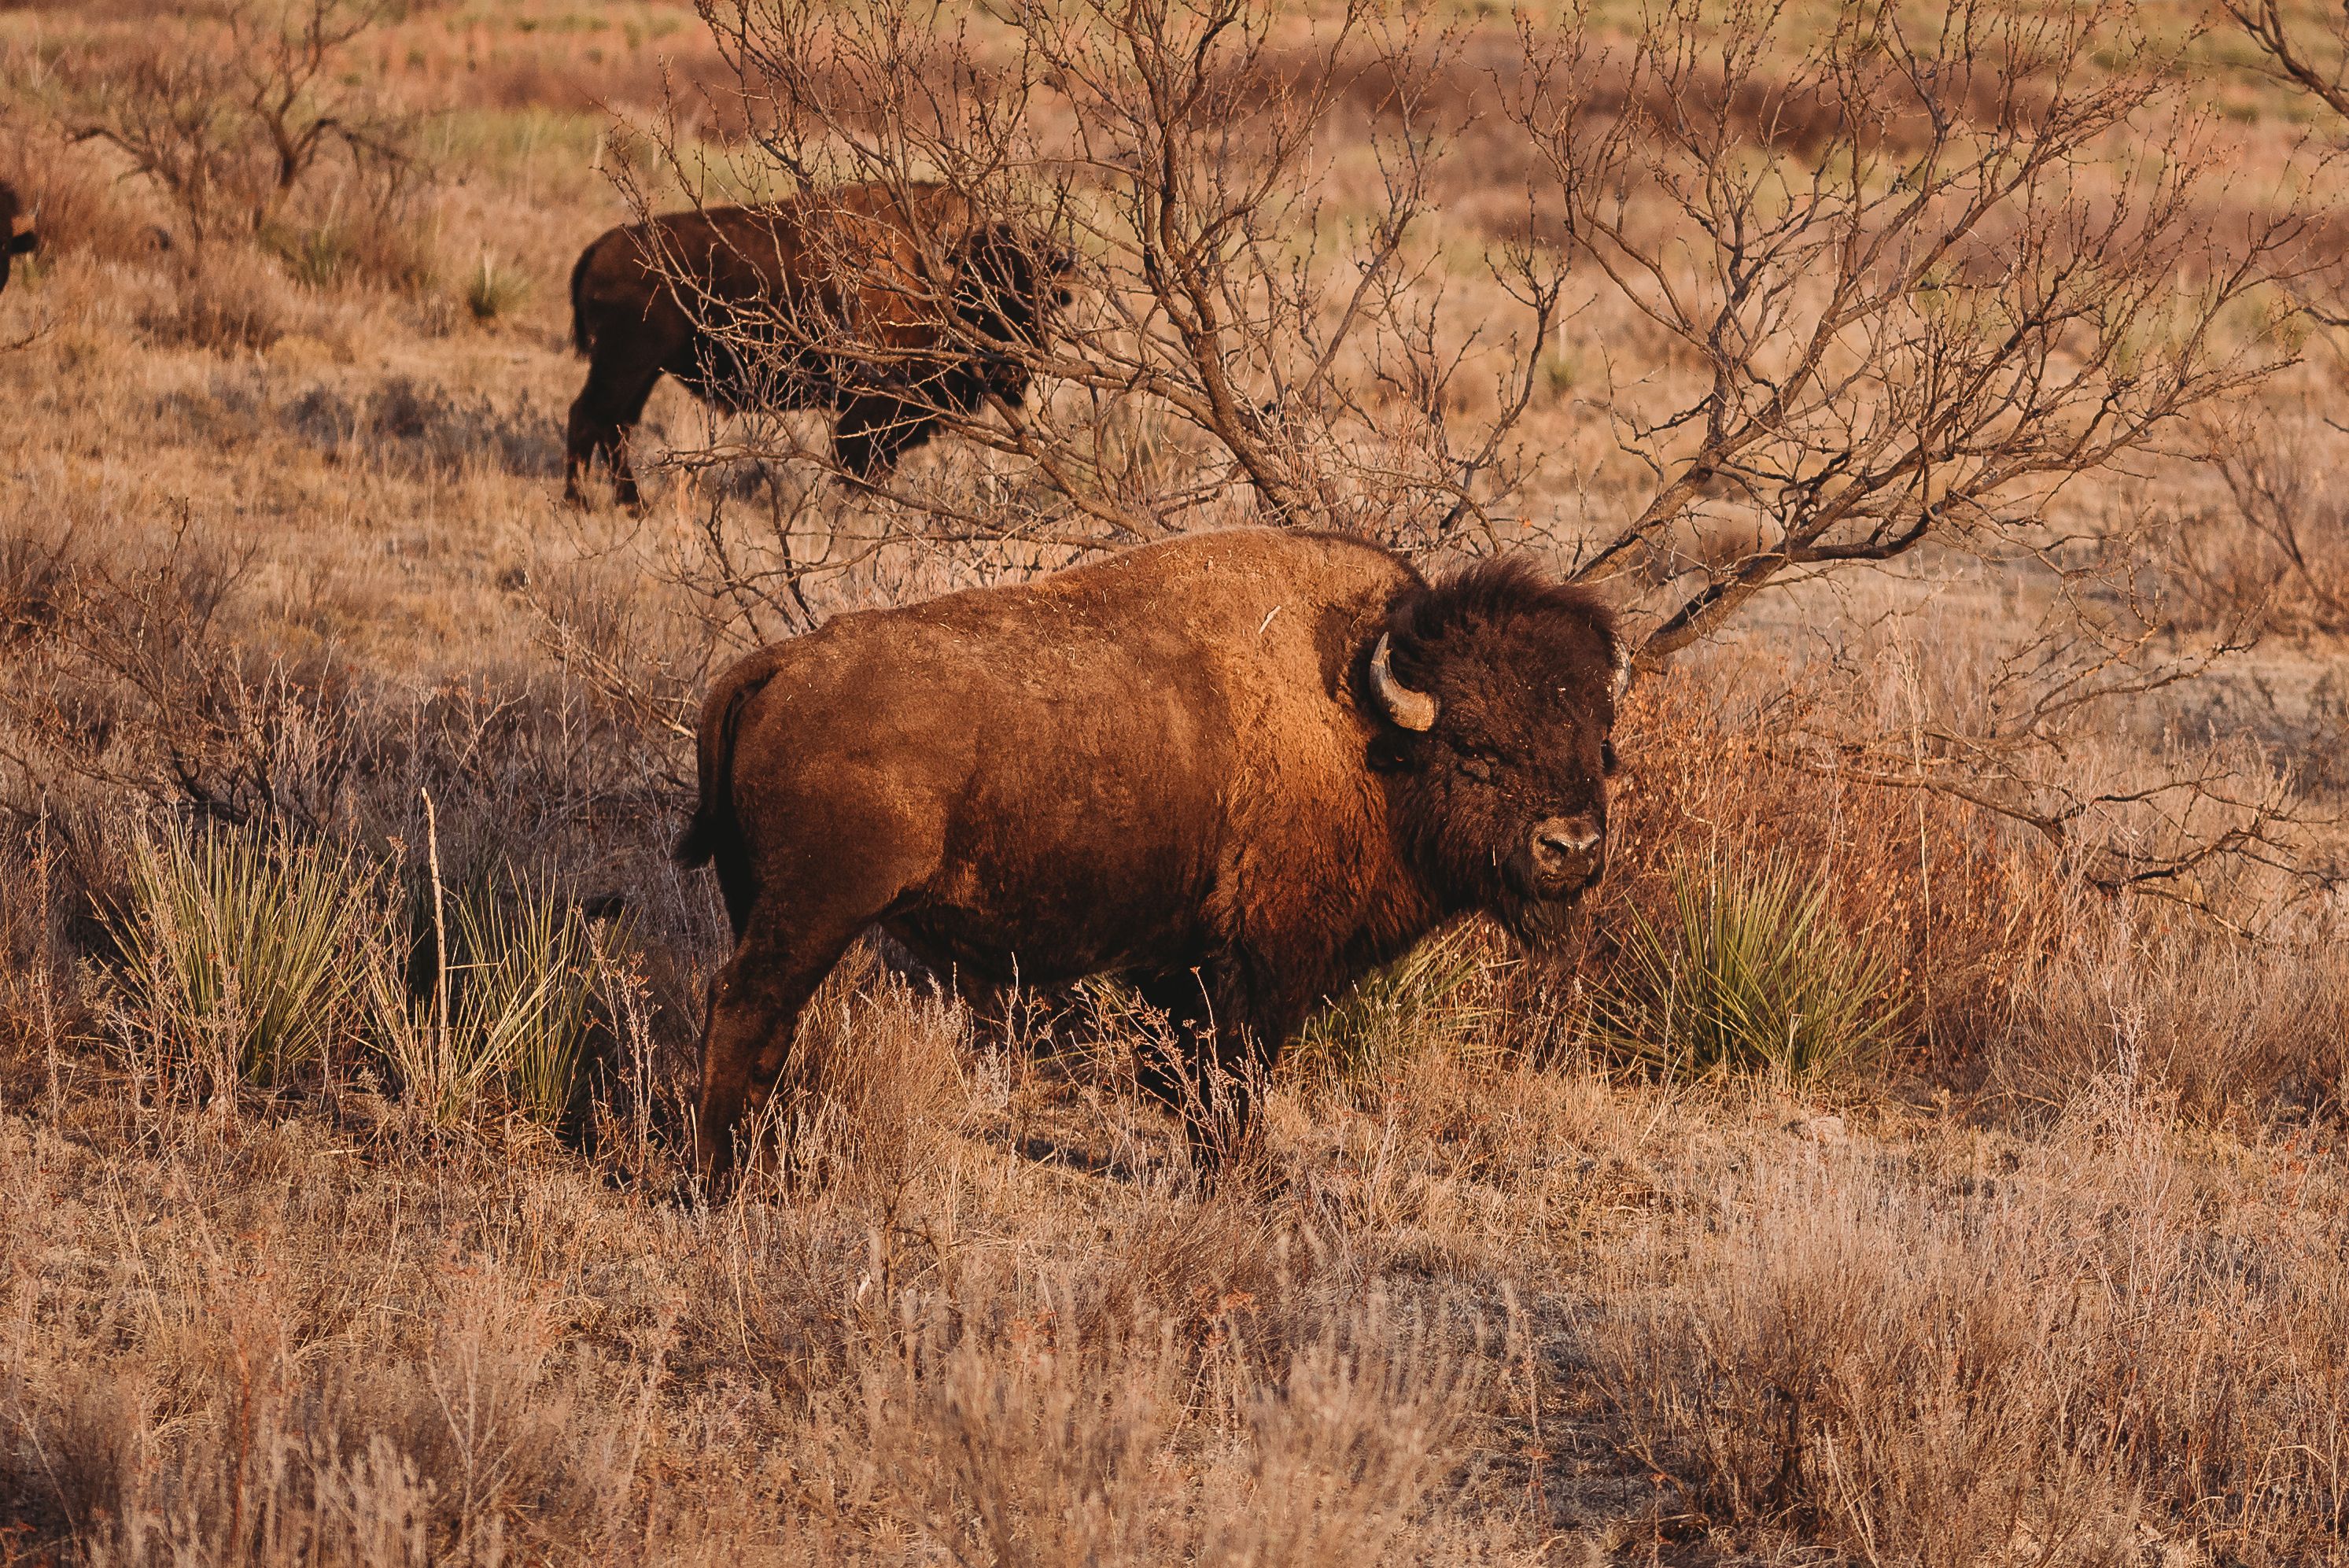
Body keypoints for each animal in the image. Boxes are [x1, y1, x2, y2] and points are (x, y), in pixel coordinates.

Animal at [565, 182, 1068, 506]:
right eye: (987, 293)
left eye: (1045, 298)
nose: (1015, 368)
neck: (935, 274)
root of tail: (598, 249)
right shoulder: (873, 404)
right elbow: (858, 458)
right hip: (626, 364)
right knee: (590, 417)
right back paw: (583, 503)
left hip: (642, 372)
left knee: (614, 426)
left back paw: (629, 503)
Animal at [677, 527, 1629, 1183]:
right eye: (1476, 747)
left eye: (1597, 740)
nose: (1571, 848)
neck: (1363, 727)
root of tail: (778, 663)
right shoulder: (1258, 960)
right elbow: (1232, 1079)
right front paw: (1245, 1182)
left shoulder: (1183, 961)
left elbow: (1193, 1080)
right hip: (815, 908)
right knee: (745, 1006)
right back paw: (718, 1179)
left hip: (759, 899)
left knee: (766, 1023)